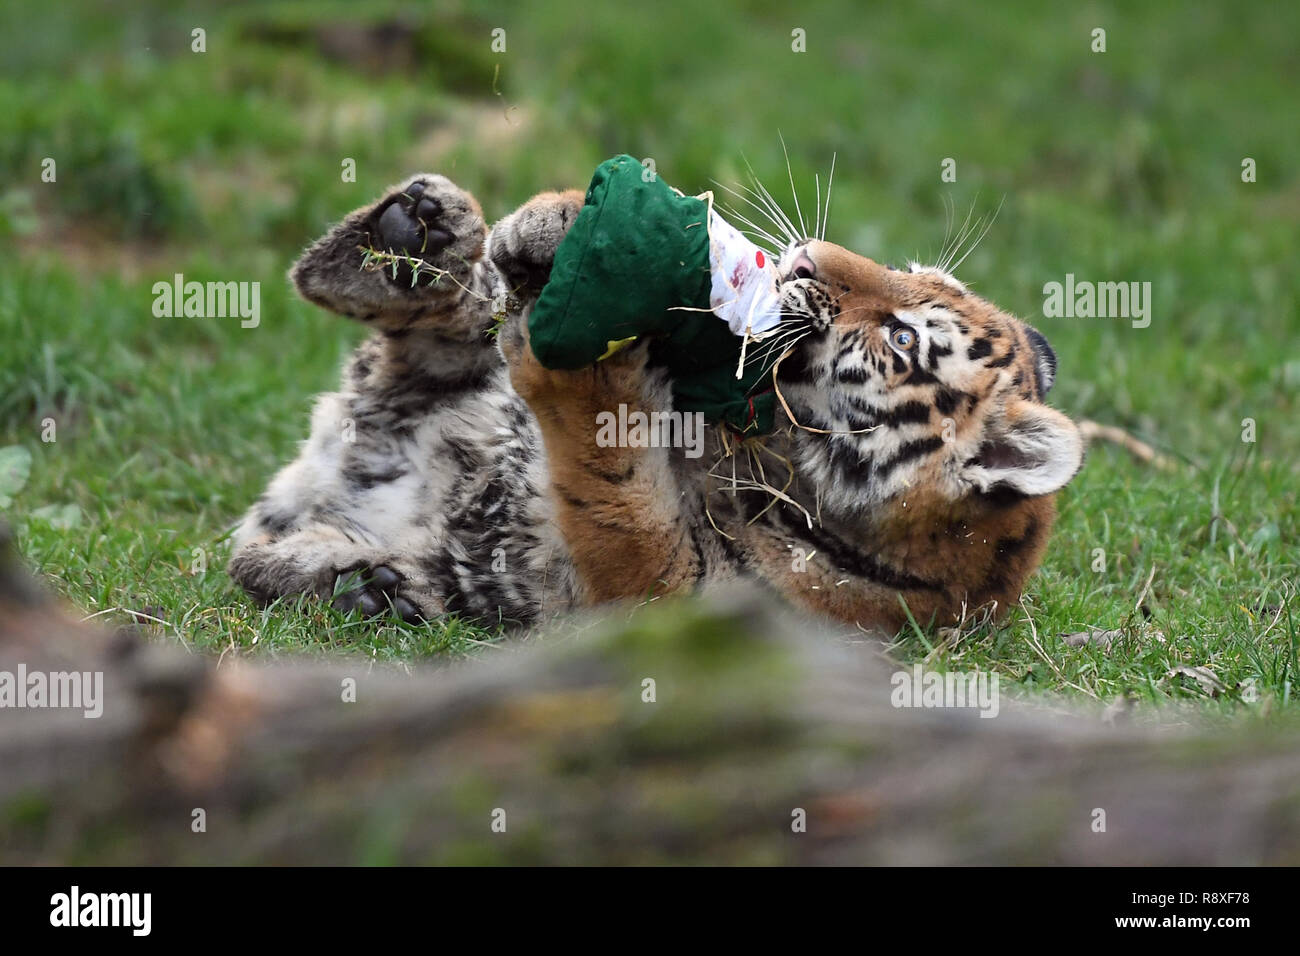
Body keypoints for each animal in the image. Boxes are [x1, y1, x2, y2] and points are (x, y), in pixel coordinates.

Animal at [228, 171, 1083, 636]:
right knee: (438, 315)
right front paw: (568, 221)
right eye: (911, 272)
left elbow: (617, 487)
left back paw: (359, 585)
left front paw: (596, 371)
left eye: (903, 339)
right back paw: (418, 235)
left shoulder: (674, 600)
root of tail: (328, 461)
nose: (806, 257)